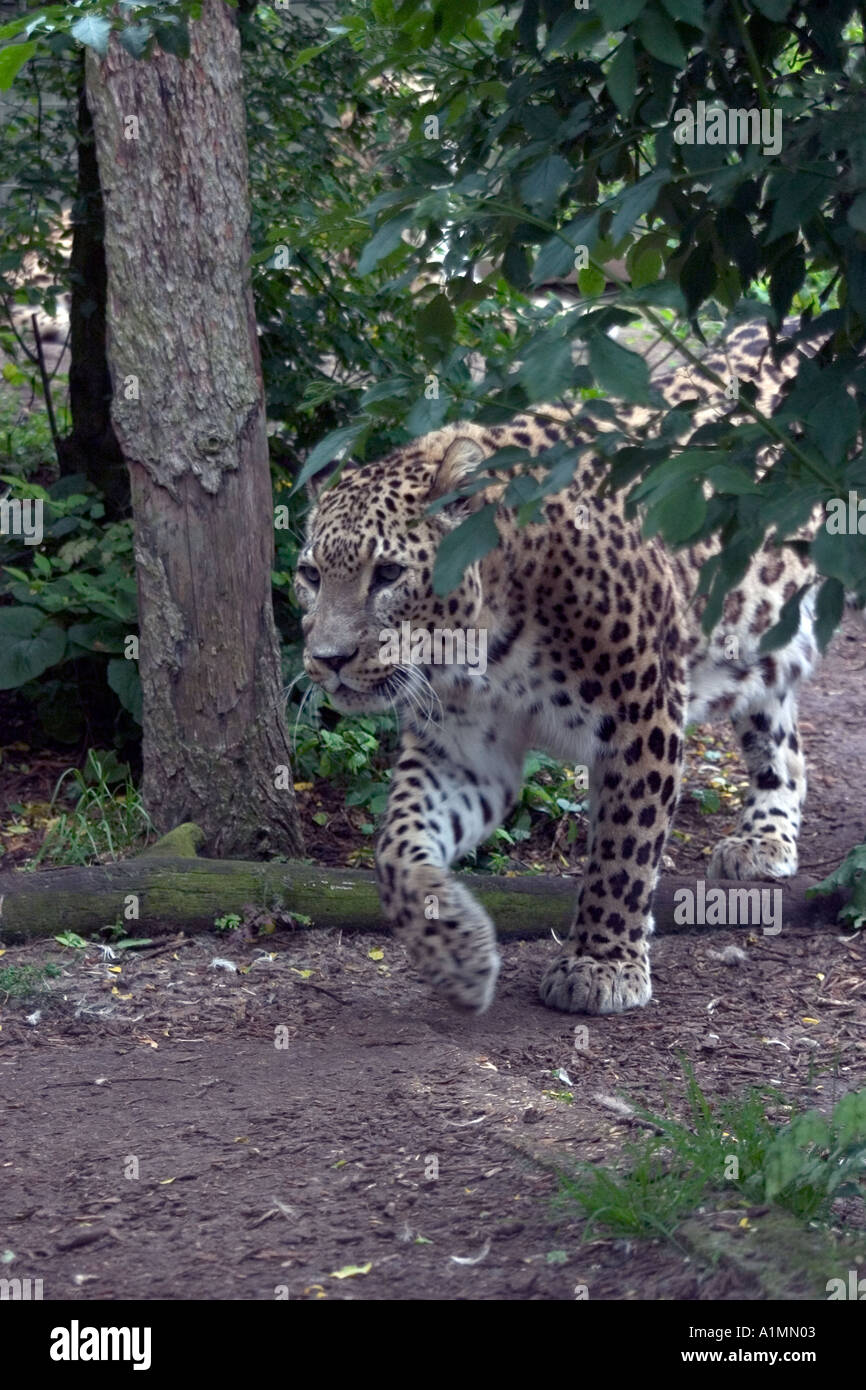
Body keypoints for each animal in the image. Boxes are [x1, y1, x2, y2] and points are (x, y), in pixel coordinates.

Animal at [295, 321, 822, 1016]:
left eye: (386, 573)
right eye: (309, 574)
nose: (327, 660)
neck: (485, 648)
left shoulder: (644, 717)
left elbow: (623, 849)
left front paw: (602, 964)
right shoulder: (463, 752)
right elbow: (397, 845)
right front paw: (453, 953)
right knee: (780, 734)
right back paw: (766, 837)